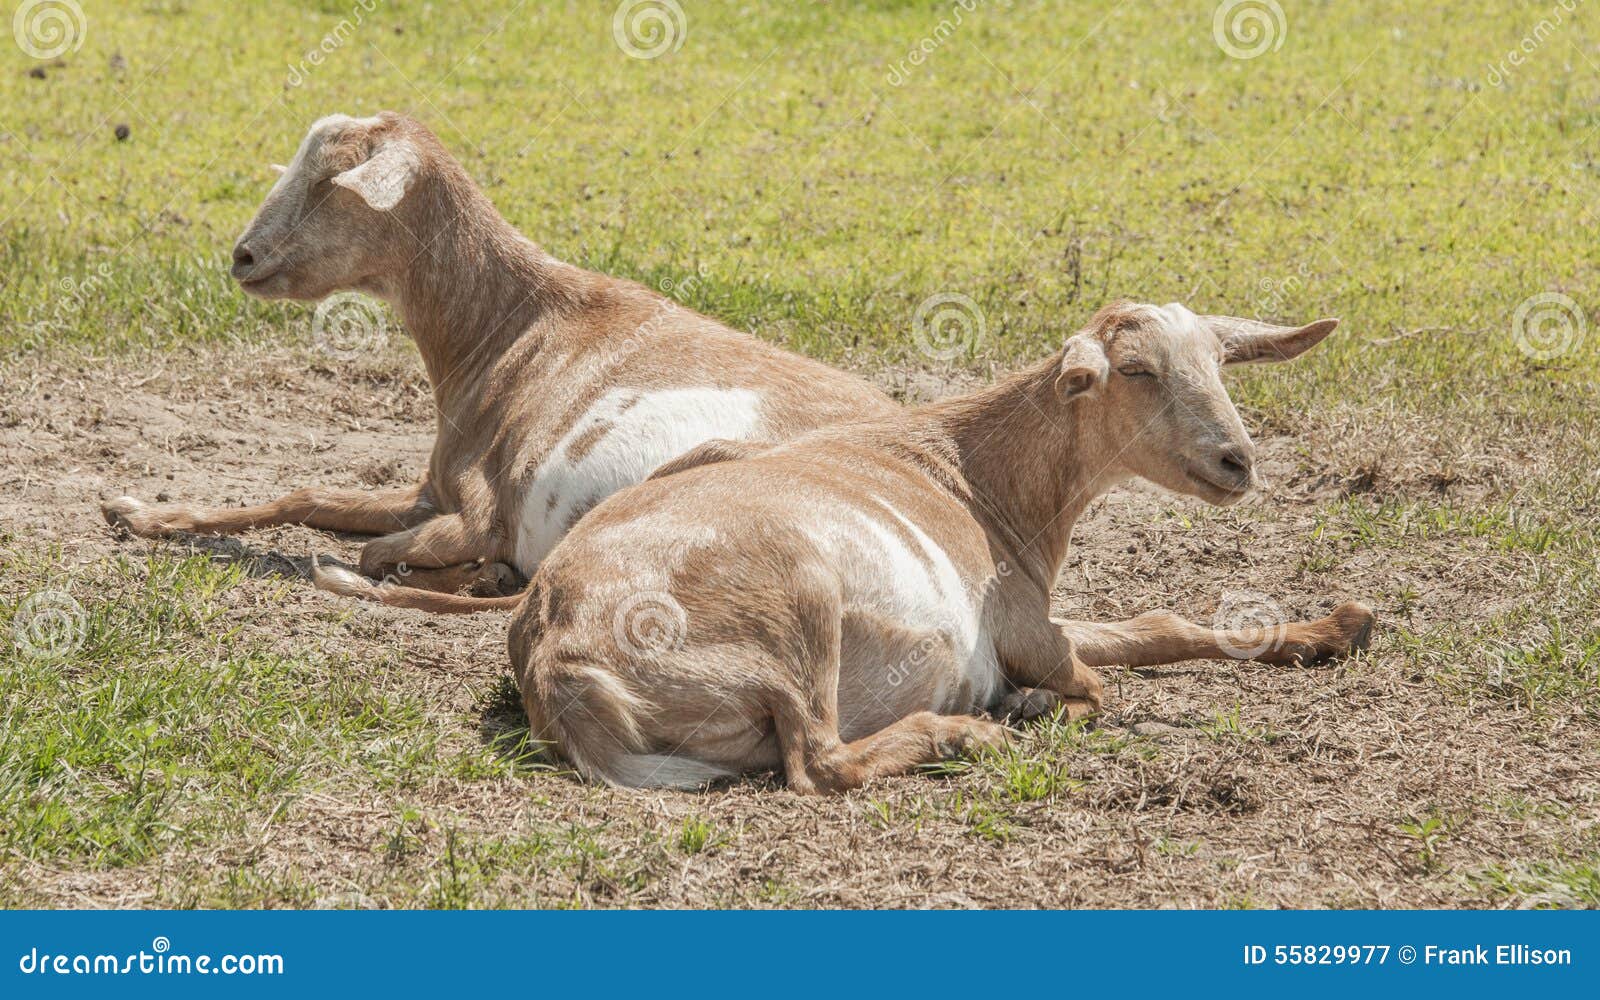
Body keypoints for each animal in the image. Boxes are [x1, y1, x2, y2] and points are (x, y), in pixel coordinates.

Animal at [101, 112, 898, 598]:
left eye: (331, 181)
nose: (243, 257)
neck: (509, 330)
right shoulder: (431, 486)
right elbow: (302, 497)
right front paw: (138, 513)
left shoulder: (477, 503)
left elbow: (392, 549)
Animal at [499, 300, 1374, 792]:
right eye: (1135, 369)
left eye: (1220, 362)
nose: (1237, 461)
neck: (978, 480)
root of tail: (558, 654)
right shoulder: (1025, 629)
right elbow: (1095, 686)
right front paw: (1029, 705)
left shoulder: (1036, 612)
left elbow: (1156, 626)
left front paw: (1338, 628)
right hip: (797, 597)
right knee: (819, 764)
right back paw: (968, 734)